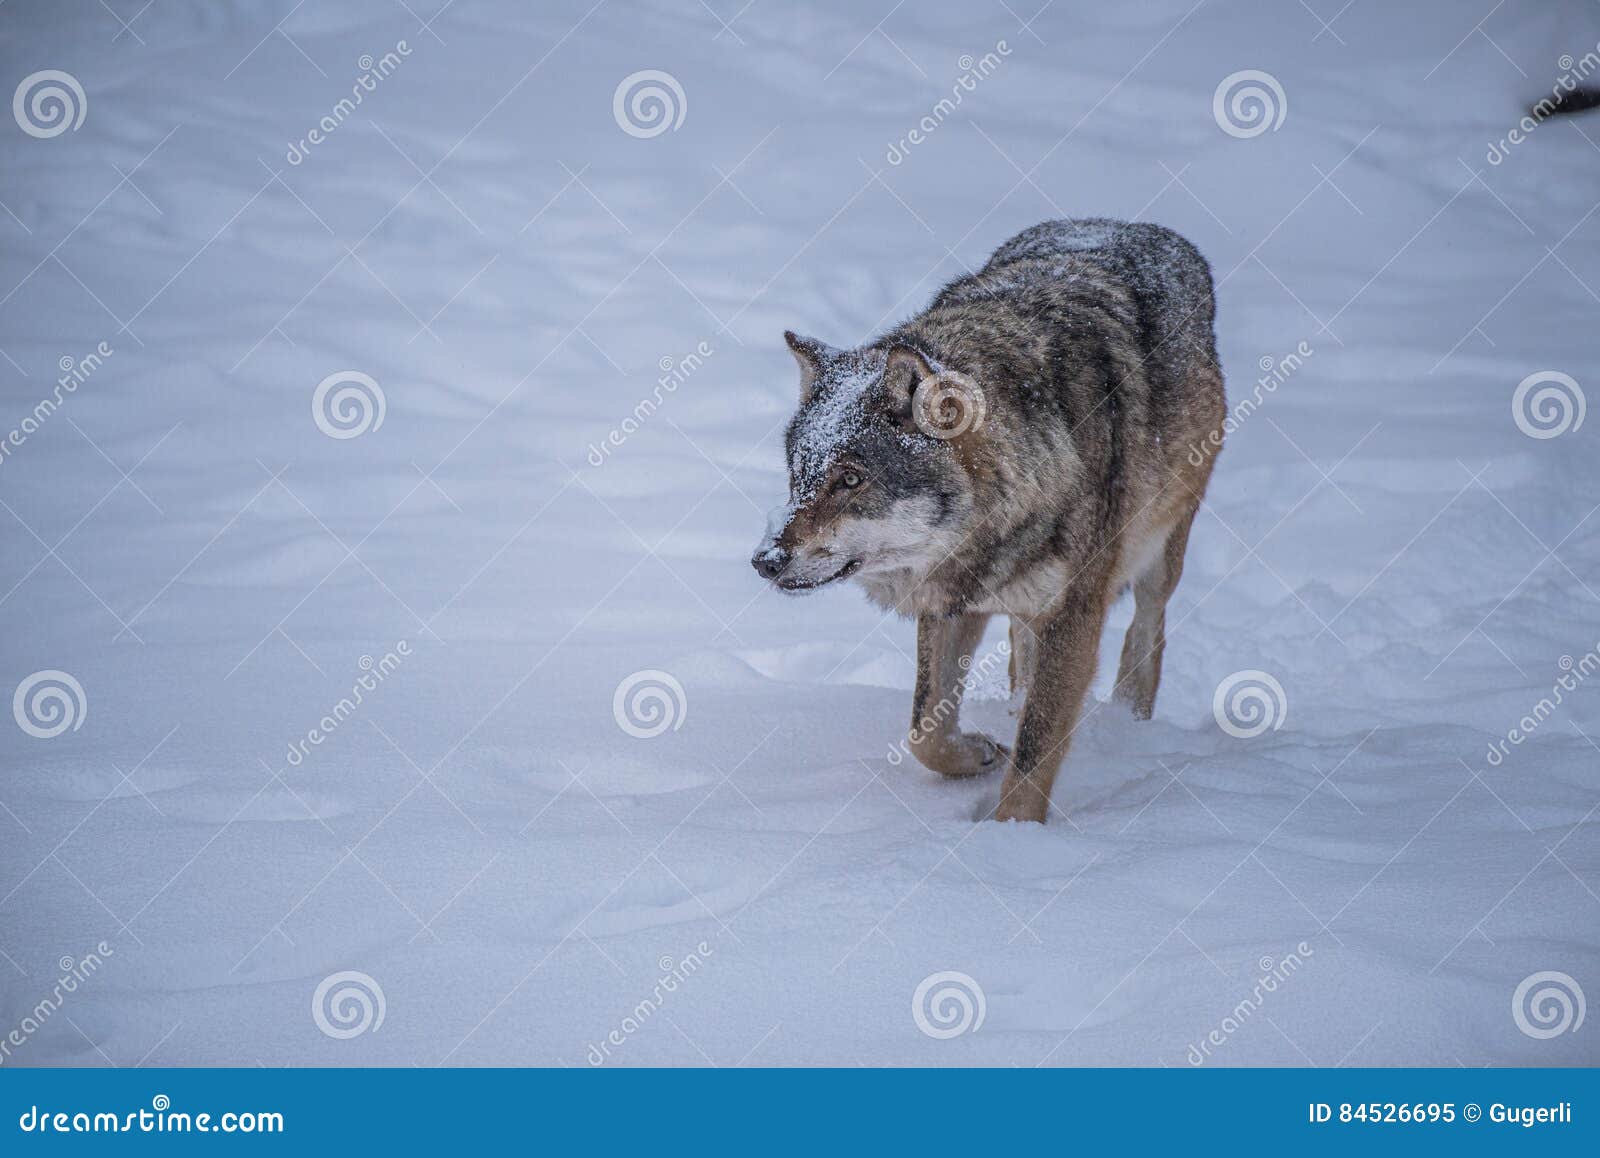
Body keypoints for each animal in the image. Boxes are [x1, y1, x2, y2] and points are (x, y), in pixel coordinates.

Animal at [751, 218, 1226, 823]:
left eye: (851, 480)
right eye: (799, 474)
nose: (765, 560)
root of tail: (1128, 223)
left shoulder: (1073, 612)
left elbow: (1035, 753)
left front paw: (1011, 838)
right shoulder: (952, 600)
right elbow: (924, 728)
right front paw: (979, 754)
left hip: (1160, 553)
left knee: (1148, 631)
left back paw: (1129, 723)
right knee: (1022, 656)